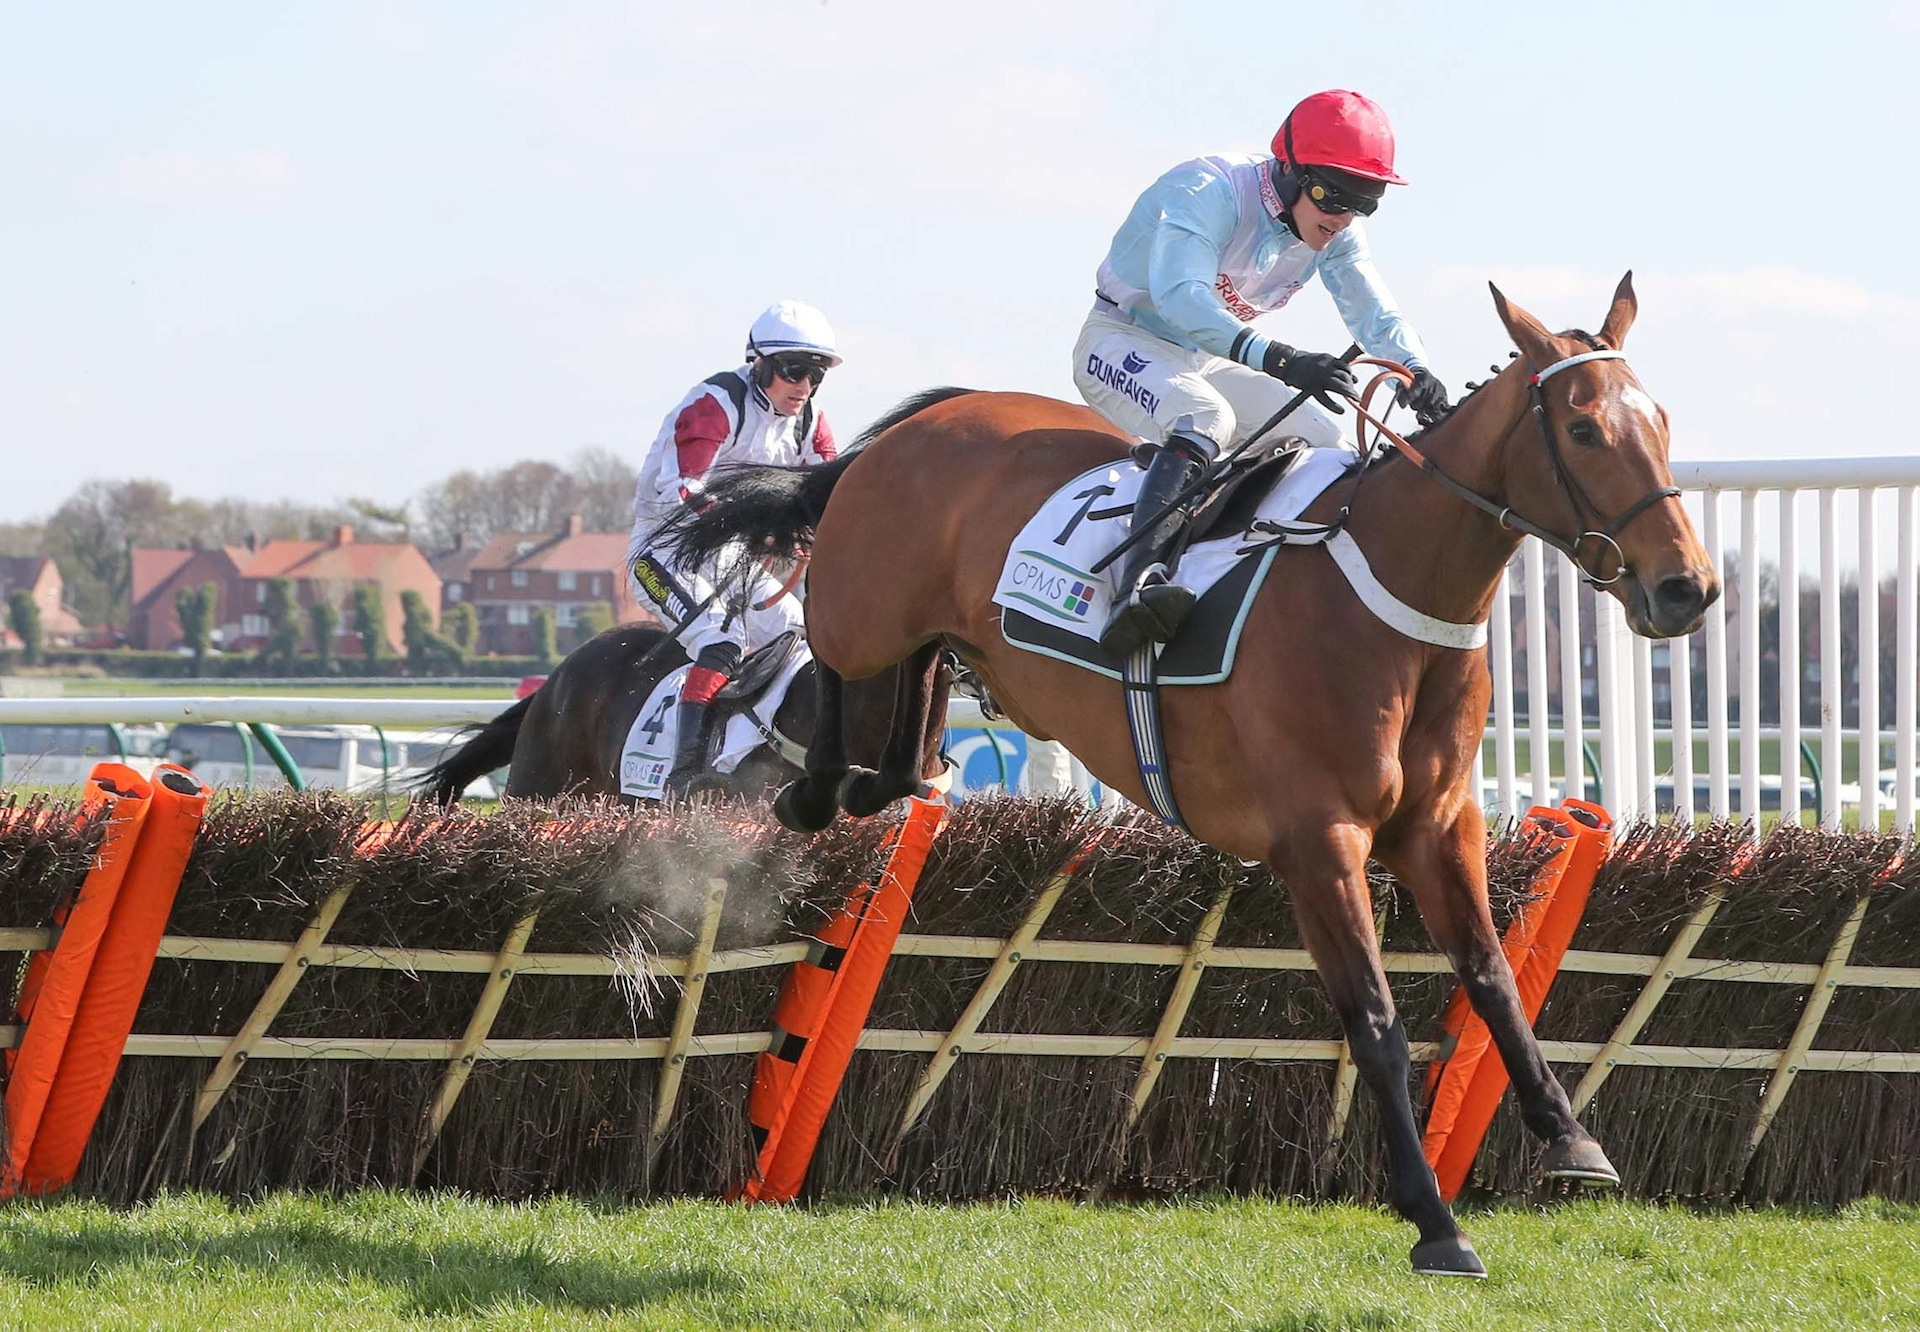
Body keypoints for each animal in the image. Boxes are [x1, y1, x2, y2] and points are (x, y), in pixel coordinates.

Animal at [655, 275, 1719, 1276]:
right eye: (1582, 429)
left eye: (1663, 420)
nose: (1688, 590)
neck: (1392, 597)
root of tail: (922, 422)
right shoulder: (1318, 841)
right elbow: (1374, 1020)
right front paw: (1434, 1220)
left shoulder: (1441, 823)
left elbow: (1497, 978)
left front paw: (1571, 1138)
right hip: (868, 604)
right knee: (834, 654)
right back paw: (815, 784)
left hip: (942, 638)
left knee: (911, 722)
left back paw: (881, 781)